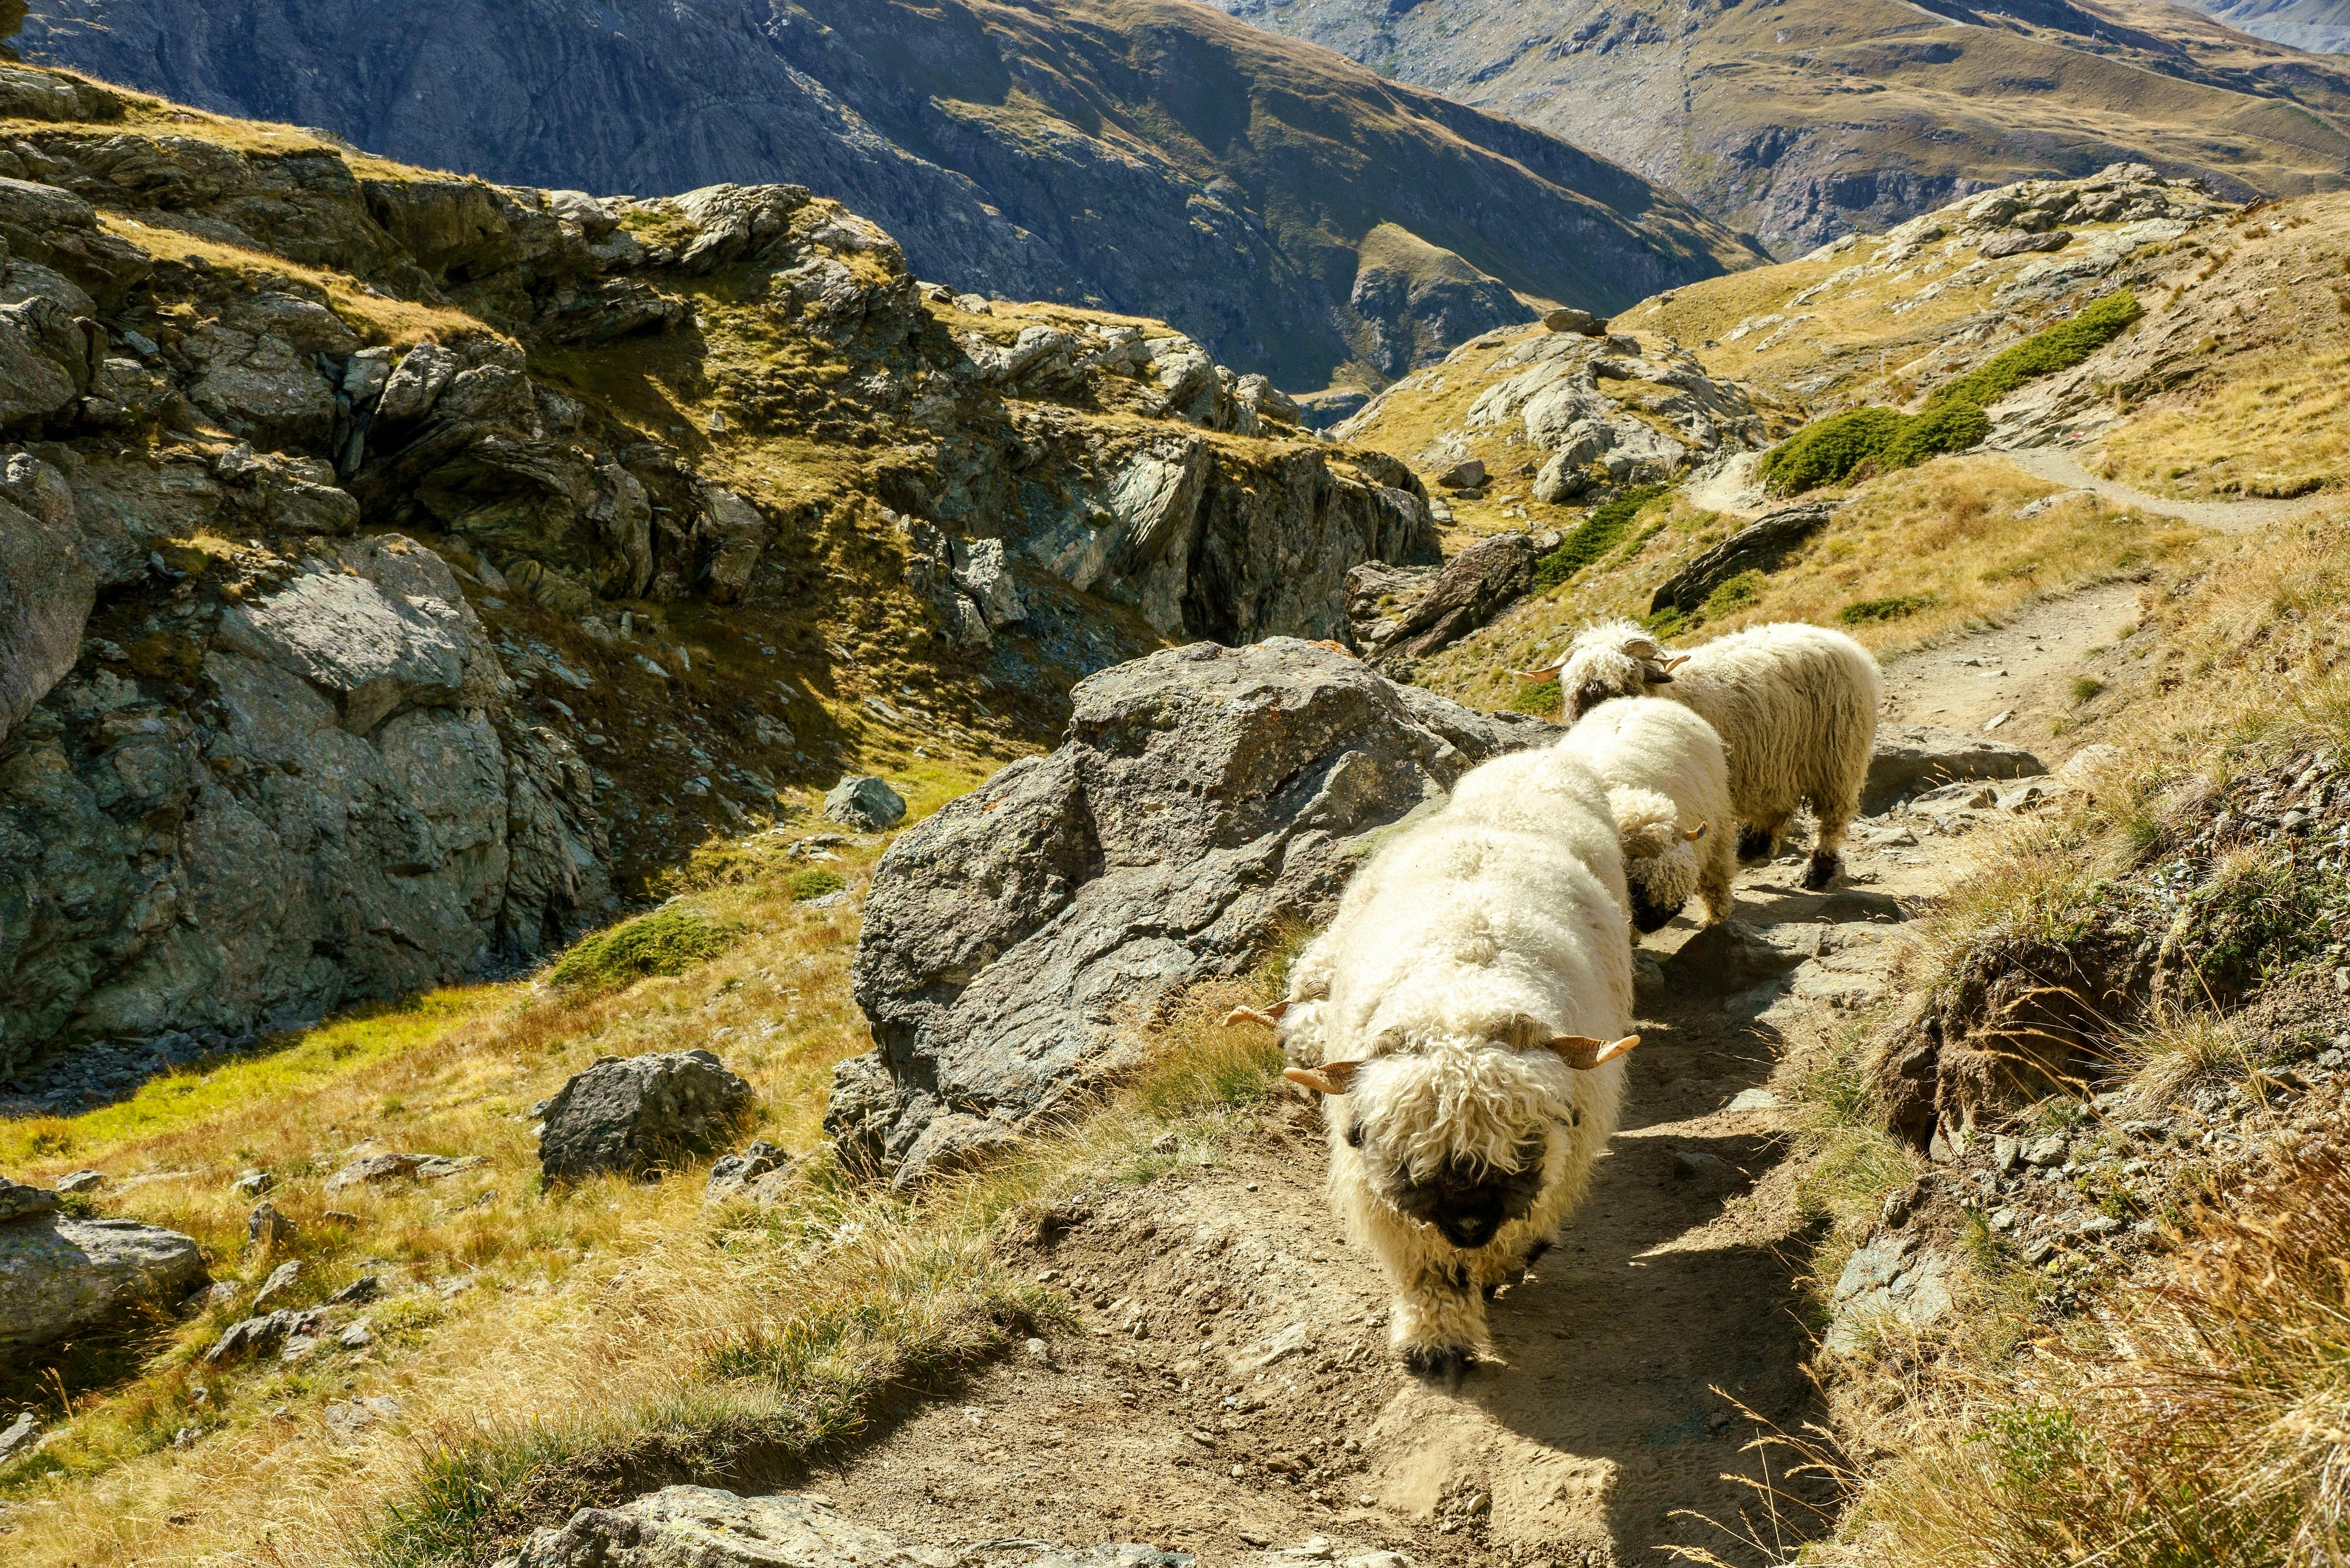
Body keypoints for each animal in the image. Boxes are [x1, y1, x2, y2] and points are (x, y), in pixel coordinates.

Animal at [1232, 745, 1639, 1383]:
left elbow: (1513, 1231)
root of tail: (1533, 759)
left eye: (1522, 1142)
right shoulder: (1389, 1197)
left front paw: (1498, 1270)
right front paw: (1435, 1344)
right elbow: (1430, 1272)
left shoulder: (1550, 1169)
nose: (1469, 1223)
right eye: (1414, 1156)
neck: (1459, 985)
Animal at [1519, 619, 1881, 890]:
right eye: (1575, 679)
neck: (1674, 693)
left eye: (1628, 674)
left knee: (1834, 817)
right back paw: (1752, 848)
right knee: (1778, 806)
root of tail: (1841, 640)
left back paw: (1818, 871)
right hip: (1778, 759)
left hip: (1838, 755)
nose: (1593, 696)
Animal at [1556, 696, 1735, 931]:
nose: (1661, 921)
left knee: (1717, 874)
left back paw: (1716, 917)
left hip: (1719, 823)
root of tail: (1640, 700)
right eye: (1638, 881)